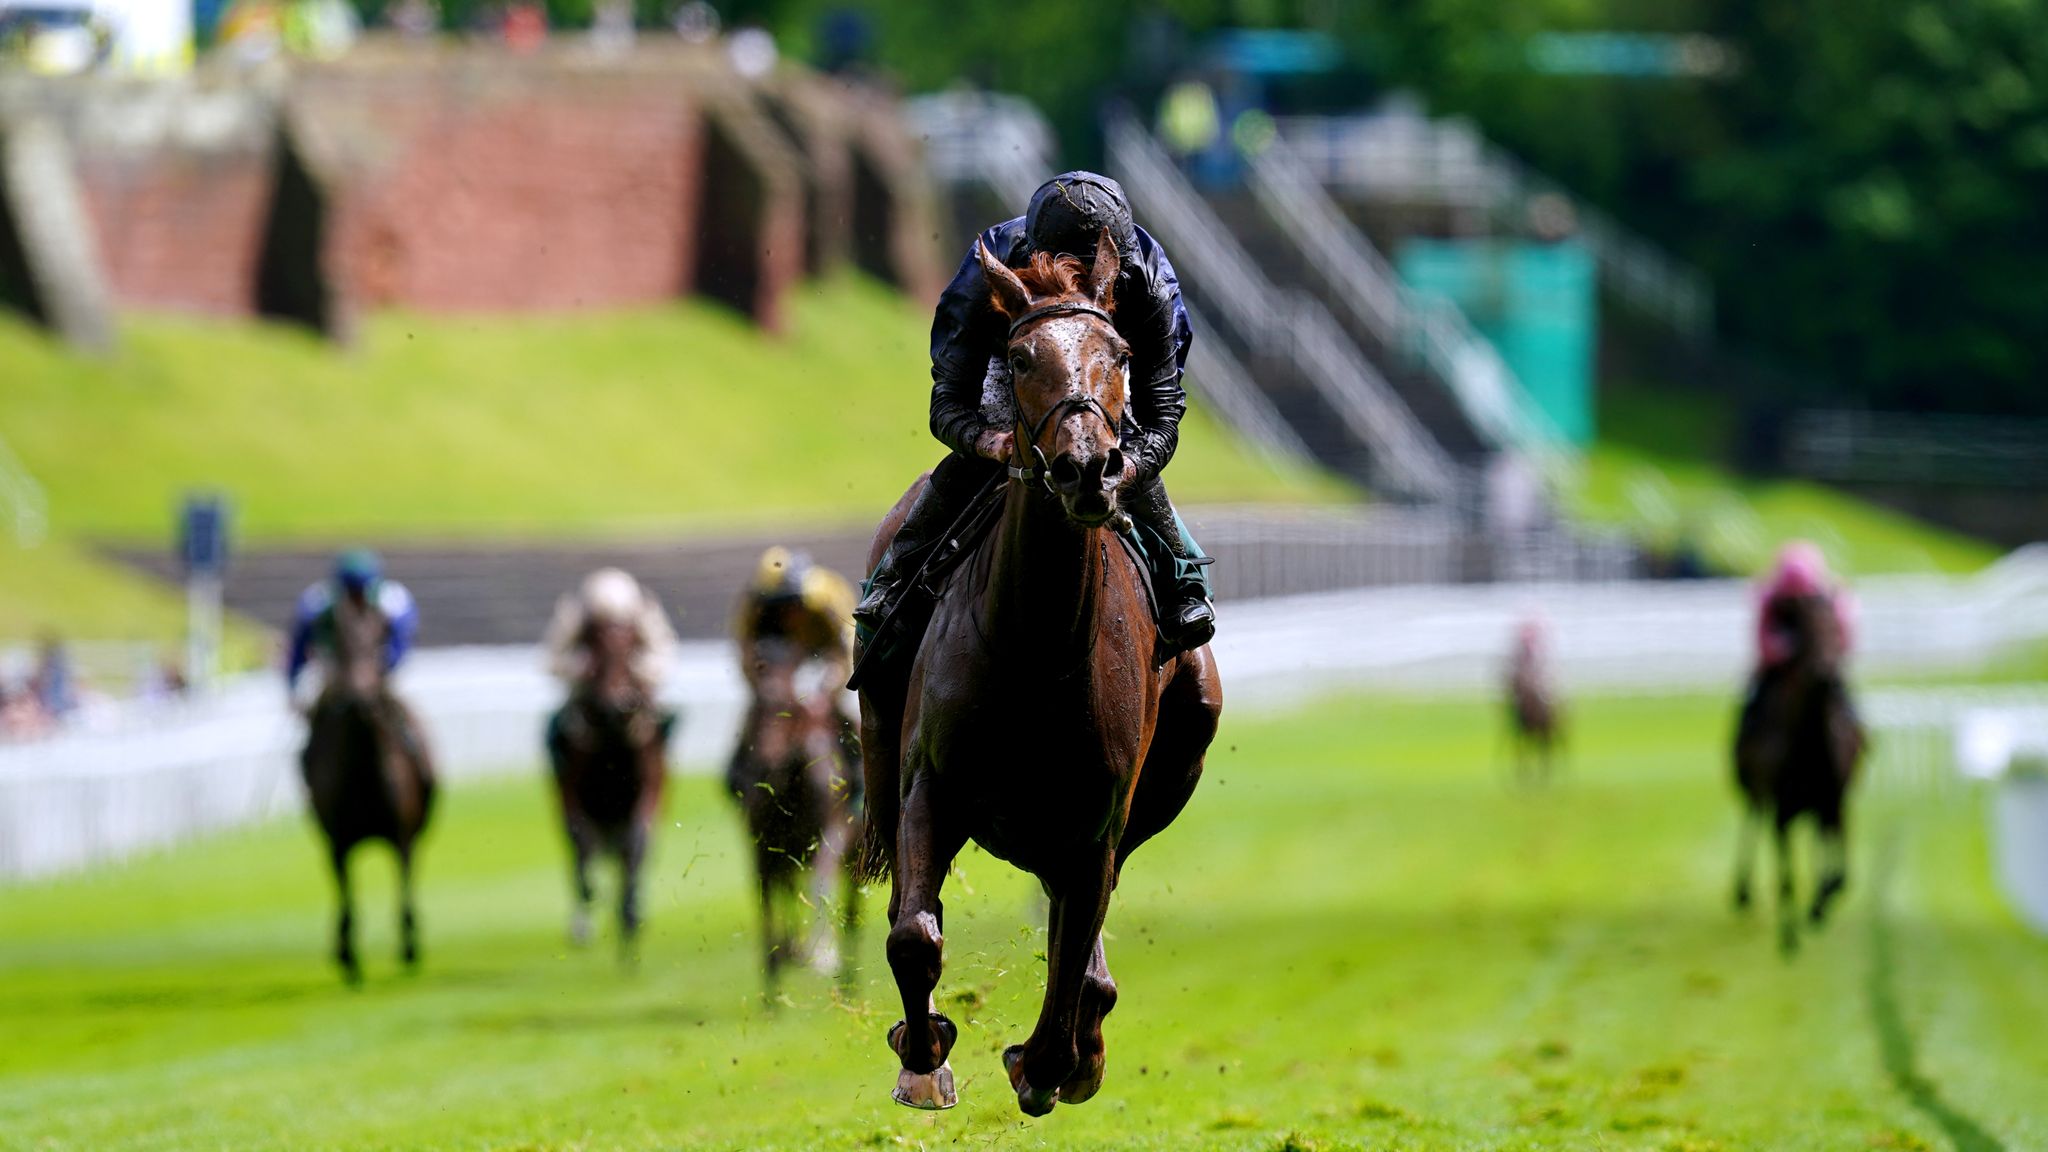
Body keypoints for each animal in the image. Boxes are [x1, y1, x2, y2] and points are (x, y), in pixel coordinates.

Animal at [301, 594, 435, 983]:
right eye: (342, 646)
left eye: (378, 641)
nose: (362, 701)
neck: (363, 776)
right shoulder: (337, 842)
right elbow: (346, 893)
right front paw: (347, 954)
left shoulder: (402, 834)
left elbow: (404, 884)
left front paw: (409, 944)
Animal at [547, 614, 671, 959]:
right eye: (594, 649)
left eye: (631, 649)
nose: (615, 707)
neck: (612, 744)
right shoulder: (571, 790)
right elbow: (582, 843)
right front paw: (588, 912)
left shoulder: (649, 787)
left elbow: (635, 842)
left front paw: (629, 914)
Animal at [728, 639, 861, 994]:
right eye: (755, 713)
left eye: (786, 710)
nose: (764, 762)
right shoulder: (767, 847)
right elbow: (771, 907)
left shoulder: (827, 837)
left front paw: (816, 954)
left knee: (849, 914)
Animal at [856, 231, 1223, 1116]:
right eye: (1020, 357)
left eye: (1120, 354)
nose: (1088, 469)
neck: (1039, 645)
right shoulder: (930, 783)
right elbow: (913, 934)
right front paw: (924, 1055)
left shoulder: (1096, 823)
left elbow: (1070, 961)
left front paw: (1051, 1062)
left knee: (1076, 942)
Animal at [1731, 592, 1865, 954]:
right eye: (1806, 632)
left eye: (1834, 629)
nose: (1826, 675)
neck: (1808, 750)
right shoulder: (1781, 810)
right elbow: (1786, 879)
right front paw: (1789, 937)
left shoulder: (1830, 802)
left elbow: (1838, 875)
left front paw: (1818, 906)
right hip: (1754, 792)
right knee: (1752, 818)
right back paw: (1742, 891)